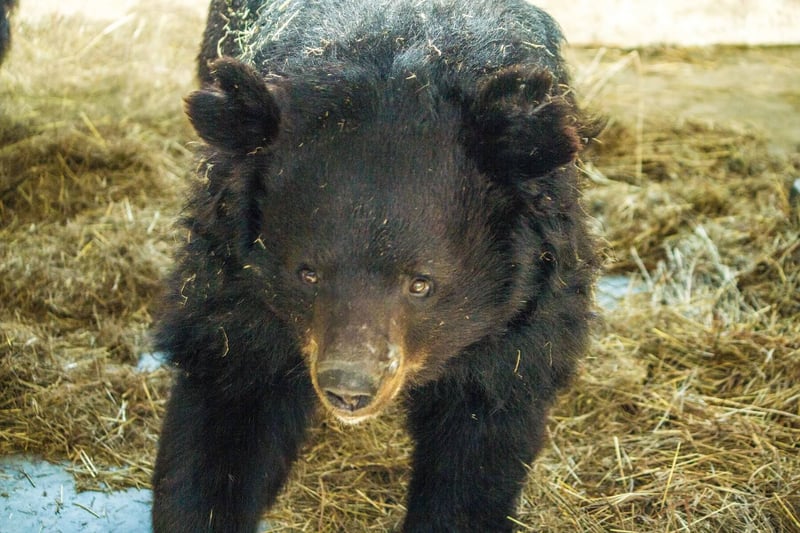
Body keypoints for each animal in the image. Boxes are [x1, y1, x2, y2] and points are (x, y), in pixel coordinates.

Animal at [152, 1, 599, 531]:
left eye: (421, 284)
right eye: (307, 274)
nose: (349, 389)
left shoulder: (522, 323)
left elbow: (479, 447)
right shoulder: (233, 290)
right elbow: (225, 403)